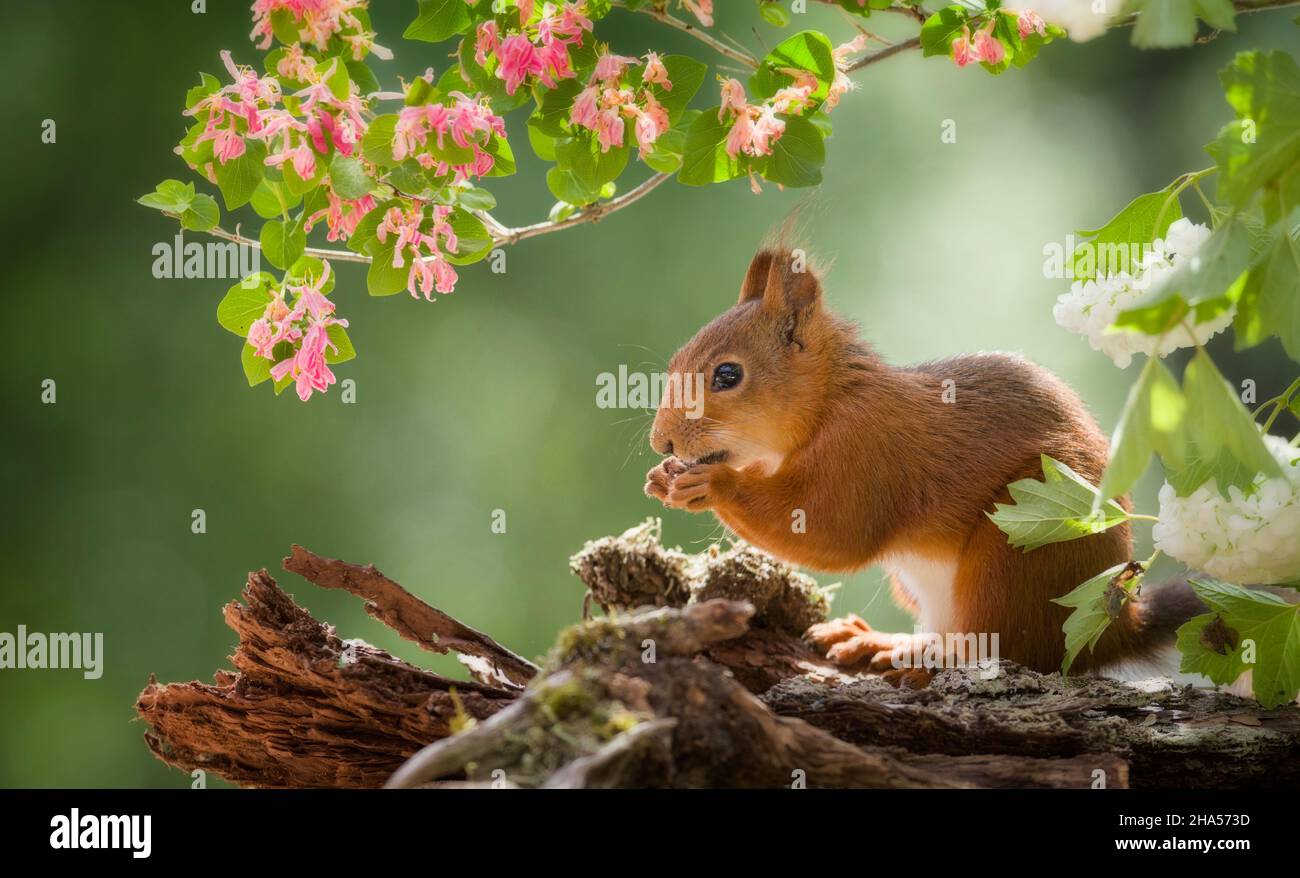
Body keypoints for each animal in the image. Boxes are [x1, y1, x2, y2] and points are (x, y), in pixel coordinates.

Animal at [644, 237, 1203, 683]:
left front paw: (712, 485)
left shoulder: (867, 451)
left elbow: (833, 532)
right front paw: (664, 478)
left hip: (1018, 557)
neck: (830, 402)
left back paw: (926, 662)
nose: (661, 443)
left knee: (1010, 651)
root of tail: (1113, 628)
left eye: (727, 375)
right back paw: (886, 643)